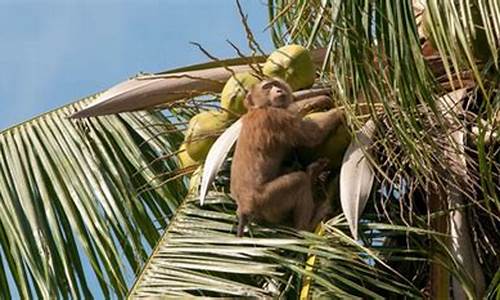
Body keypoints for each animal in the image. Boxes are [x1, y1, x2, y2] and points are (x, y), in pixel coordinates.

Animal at [229, 78, 344, 237]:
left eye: (276, 84)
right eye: (267, 87)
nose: (278, 90)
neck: (258, 108)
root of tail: (243, 207)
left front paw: (320, 100)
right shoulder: (276, 117)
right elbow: (312, 134)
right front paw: (343, 111)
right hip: (265, 200)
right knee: (299, 181)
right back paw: (306, 226)